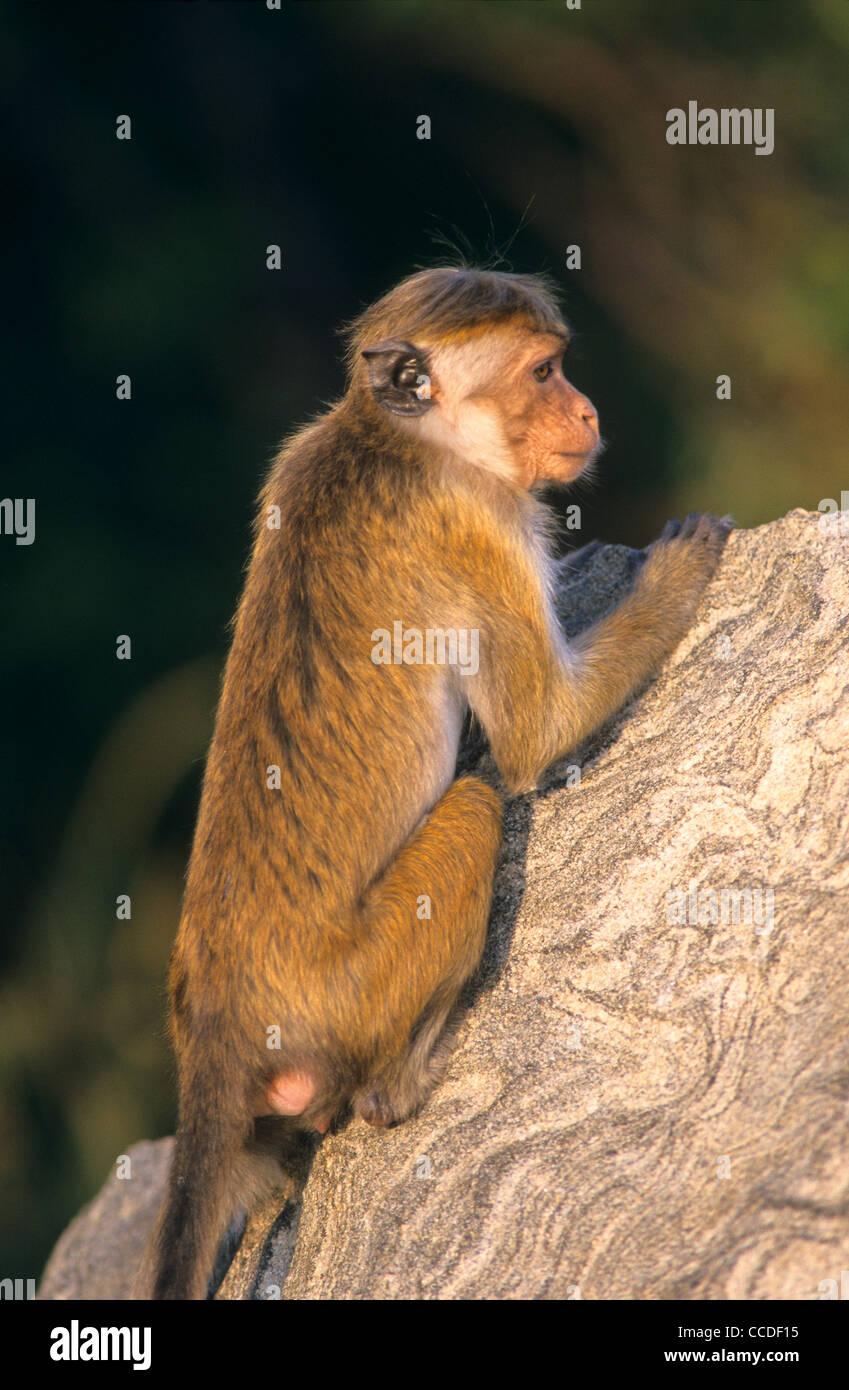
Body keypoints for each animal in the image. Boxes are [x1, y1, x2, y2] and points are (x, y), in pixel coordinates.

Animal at [136, 266, 731, 1299]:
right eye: (542, 372)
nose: (586, 407)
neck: (393, 438)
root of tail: (215, 1027)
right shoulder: (476, 516)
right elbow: (538, 736)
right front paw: (677, 568)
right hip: (350, 986)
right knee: (481, 806)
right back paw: (396, 1088)